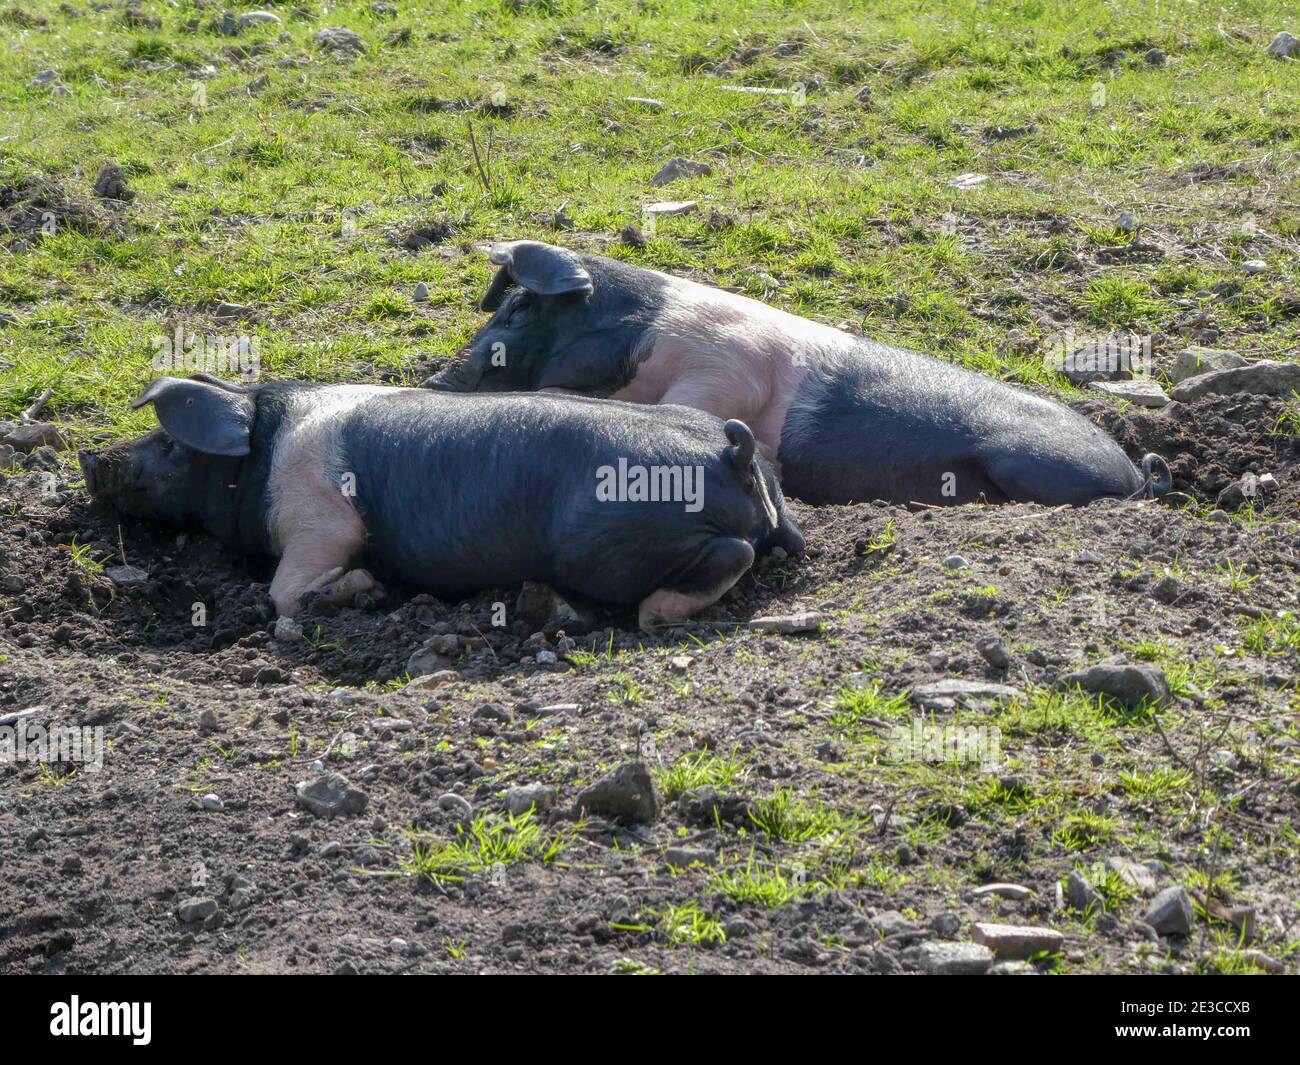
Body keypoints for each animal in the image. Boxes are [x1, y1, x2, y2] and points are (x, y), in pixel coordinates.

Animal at [79, 375, 804, 631]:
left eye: (169, 446)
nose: (91, 458)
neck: (265, 456)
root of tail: (730, 456)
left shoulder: (319, 518)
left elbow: (286, 592)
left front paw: (366, 589)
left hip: (604, 545)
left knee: (731, 555)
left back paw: (653, 615)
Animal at [427, 240, 1172, 507]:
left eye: (517, 309)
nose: (439, 381)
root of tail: (1133, 469)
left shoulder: (727, 365)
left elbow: (701, 402)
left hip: (1036, 460)